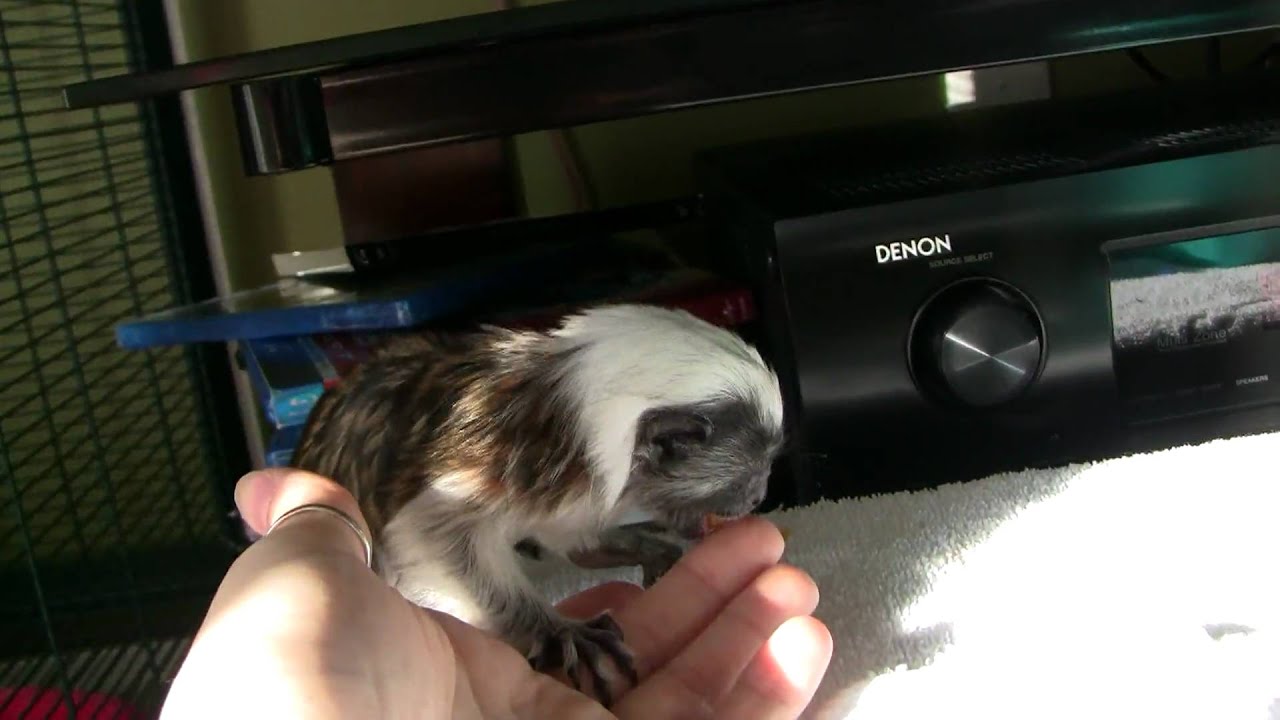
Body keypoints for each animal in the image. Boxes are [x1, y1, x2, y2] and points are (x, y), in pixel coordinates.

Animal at [289, 304, 786, 706]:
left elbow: (571, 539)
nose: (759, 494)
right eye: (752, 468)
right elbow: (428, 529)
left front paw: (648, 550)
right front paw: (555, 630)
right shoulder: (504, 461)